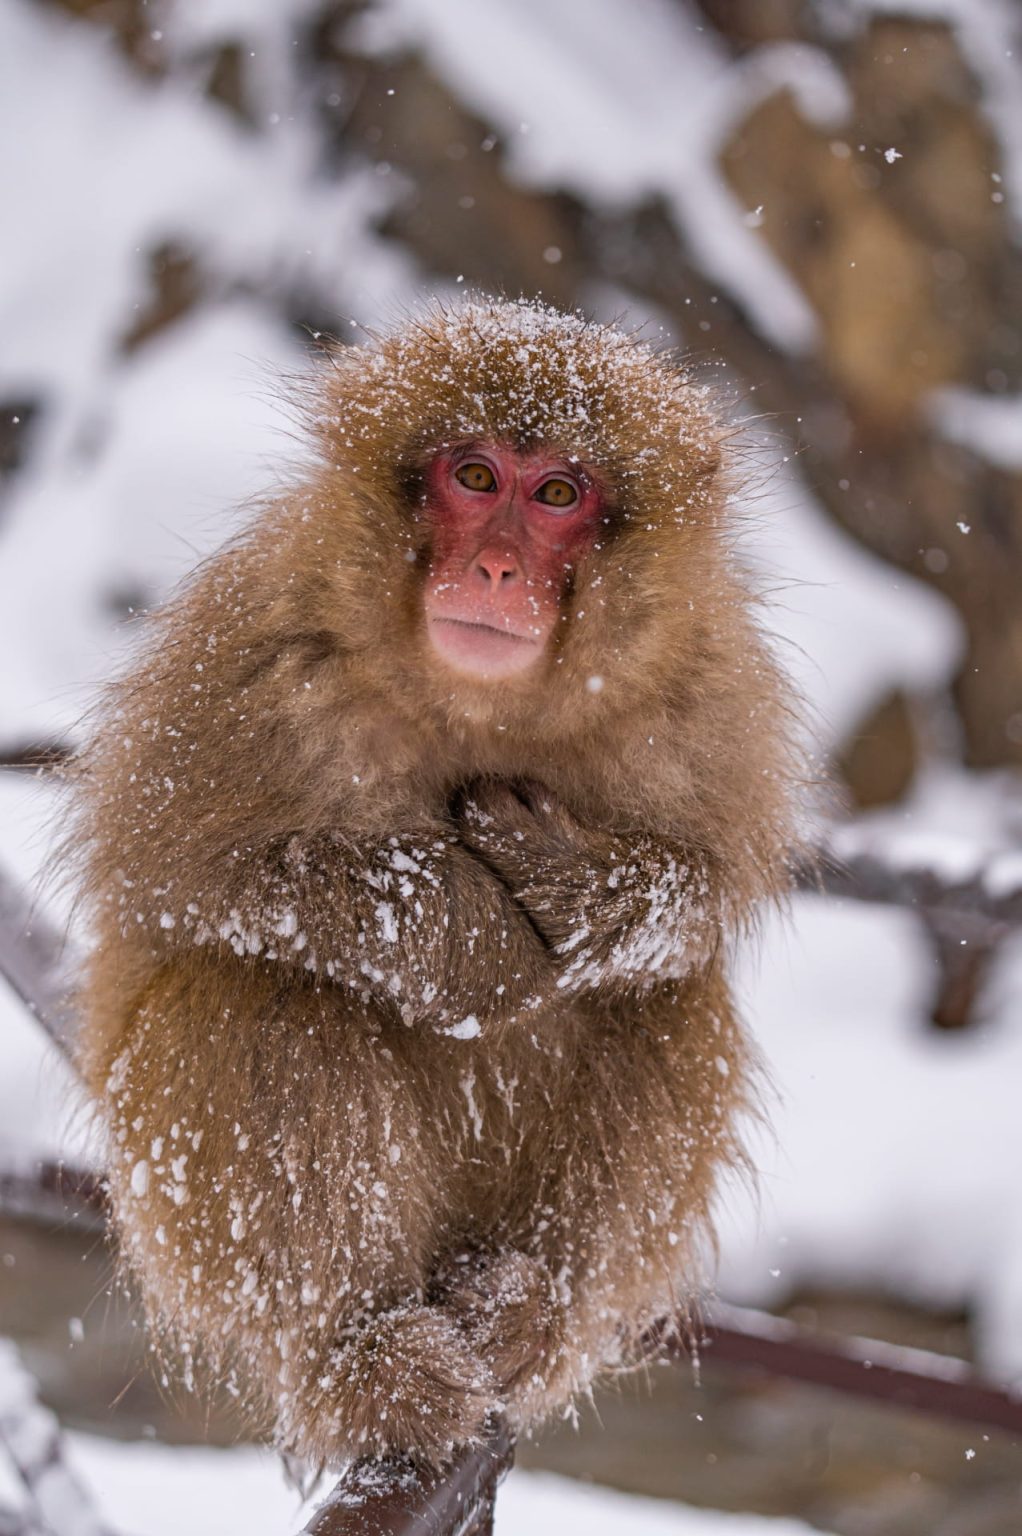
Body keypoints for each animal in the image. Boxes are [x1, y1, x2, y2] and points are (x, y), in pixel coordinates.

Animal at [66, 298, 799, 1469]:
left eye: (557, 495)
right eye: (474, 476)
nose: (495, 569)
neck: (477, 705)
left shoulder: (707, 683)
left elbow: (703, 889)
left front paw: (571, 881)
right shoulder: (254, 644)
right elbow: (168, 871)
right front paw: (465, 936)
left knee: (659, 997)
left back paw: (526, 1302)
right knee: (263, 996)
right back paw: (365, 1354)